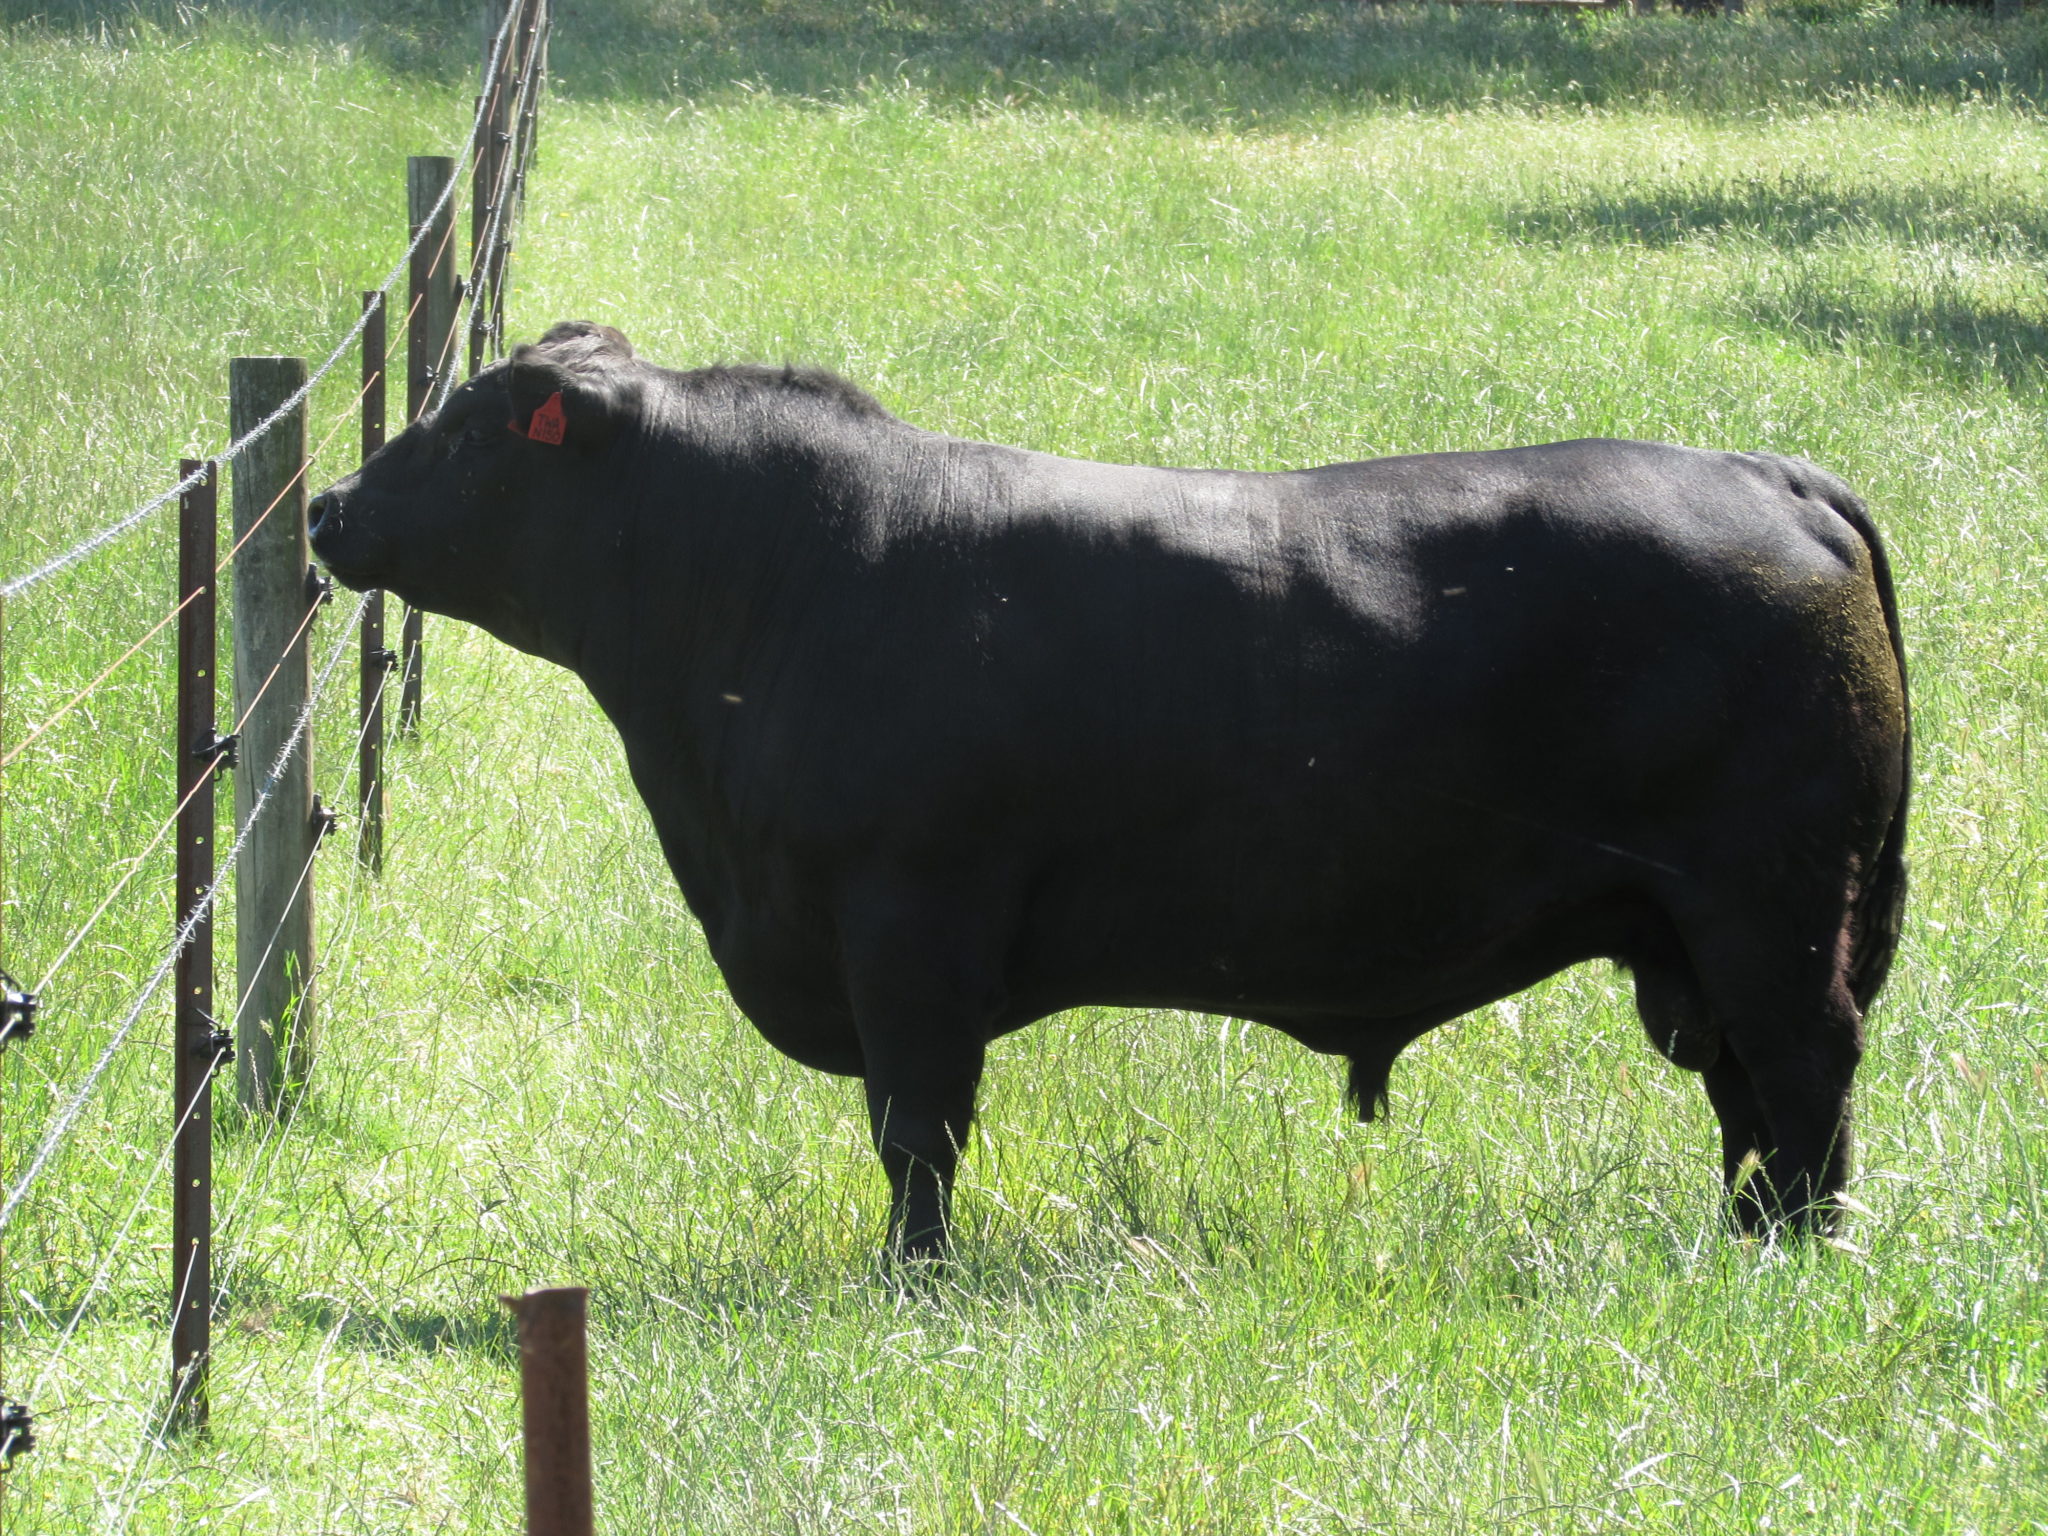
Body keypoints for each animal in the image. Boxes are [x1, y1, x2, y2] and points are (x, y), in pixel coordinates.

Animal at [310, 321, 1910, 1262]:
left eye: (472, 427)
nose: (326, 505)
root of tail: (1769, 474)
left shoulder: (909, 928)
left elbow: (917, 1127)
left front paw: (912, 1282)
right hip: (1691, 934)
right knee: (1748, 1097)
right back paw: (1745, 1243)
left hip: (1767, 911)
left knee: (1802, 1071)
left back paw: (1801, 1256)